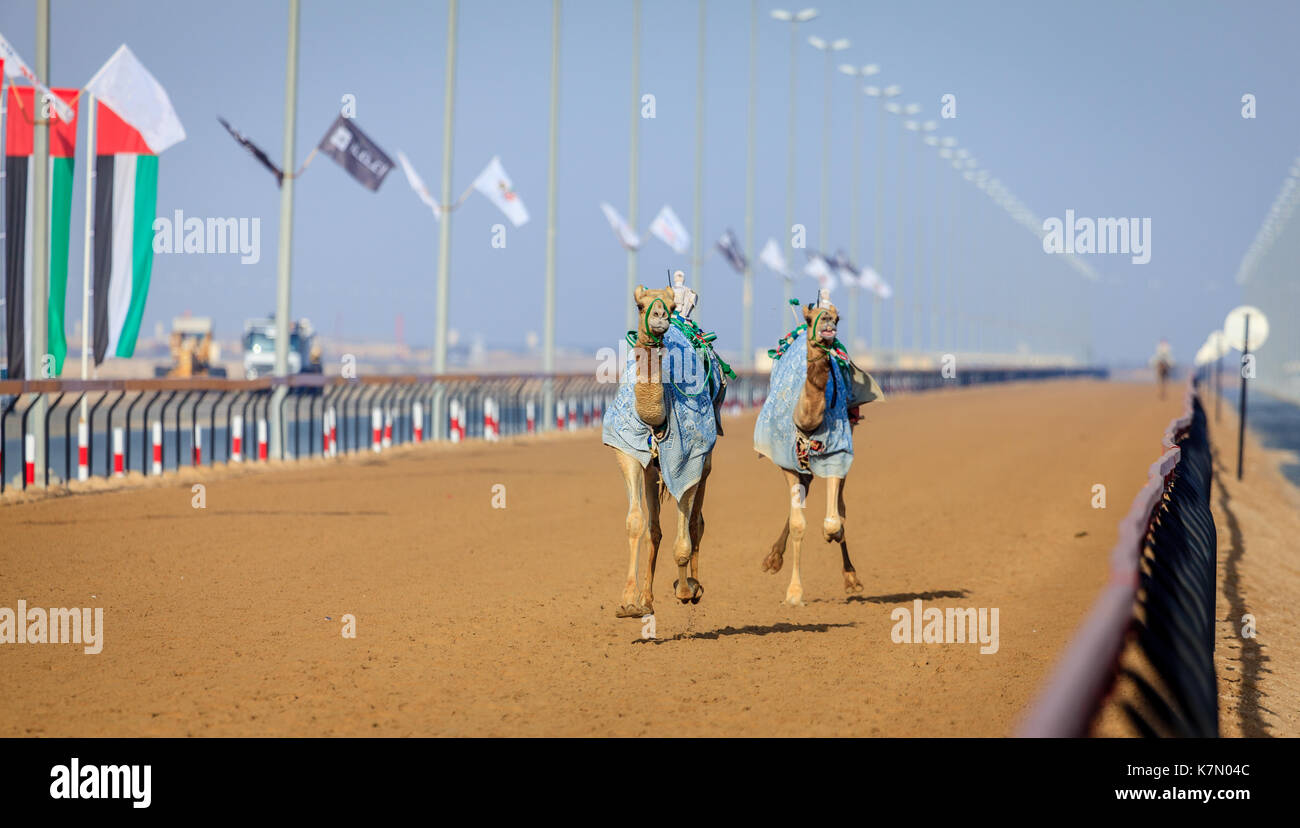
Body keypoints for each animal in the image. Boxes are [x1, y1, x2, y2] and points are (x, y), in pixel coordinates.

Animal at [603, 283, 723, 618]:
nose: (659, 318)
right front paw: (629, 602)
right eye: (640, 305)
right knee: (654, 528)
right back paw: (647, 599)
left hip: (706, 463)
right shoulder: (628, 451)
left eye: (669, 306)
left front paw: (684, 591)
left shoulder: (689, 459)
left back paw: (693, 586)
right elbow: (636, 523)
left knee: (696, 522)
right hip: (651, 469)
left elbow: (684, 534)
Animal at [753, 293, 866, 605]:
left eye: (837, 318)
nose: (827, 322)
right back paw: (772, 559)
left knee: (838, 505)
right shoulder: (787, 462)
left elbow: (834, 519)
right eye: (811, 316)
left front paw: (834, 537)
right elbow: (798, 524)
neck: (805, 423)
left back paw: (851, 577)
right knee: (801, 499)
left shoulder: (837, 455)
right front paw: (794, 593)